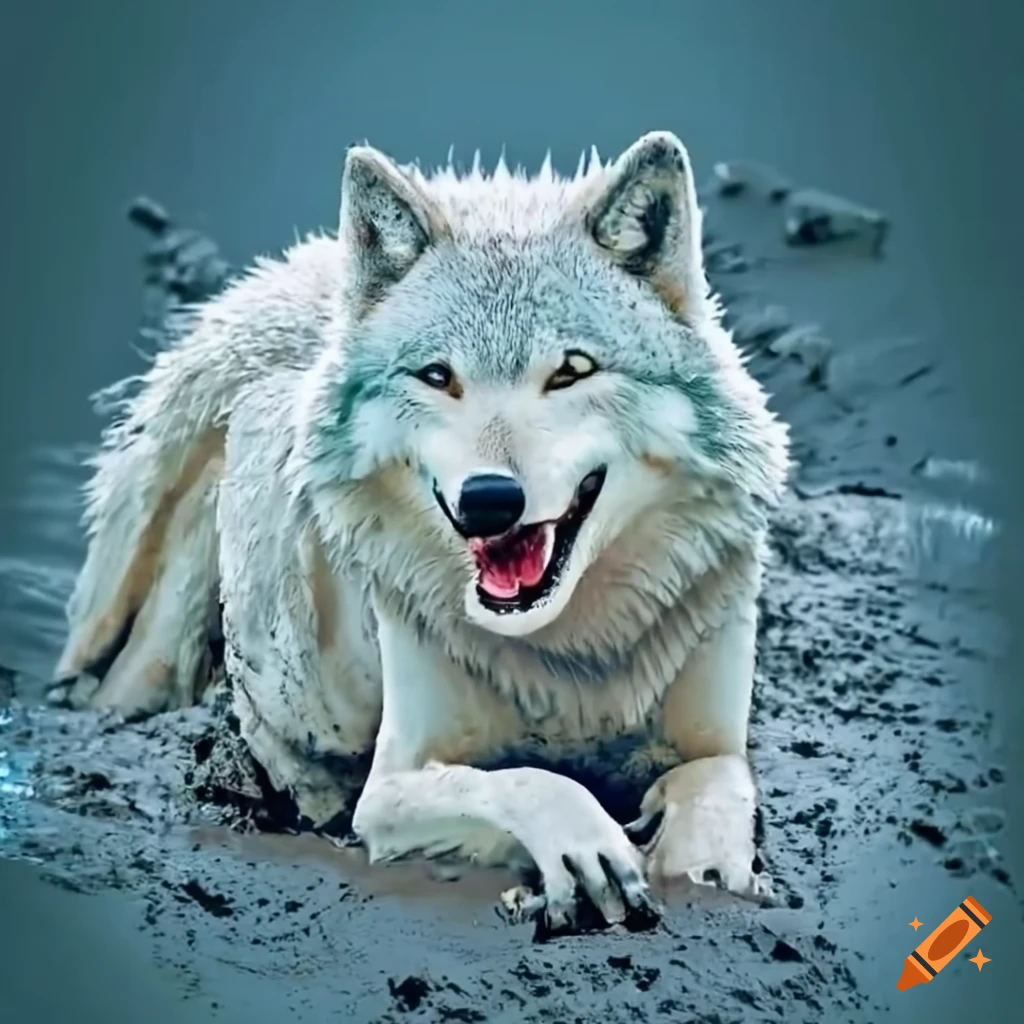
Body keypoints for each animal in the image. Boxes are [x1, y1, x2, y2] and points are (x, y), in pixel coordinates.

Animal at [54, 130, 790, 931]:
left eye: (572, 371)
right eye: (438, 376)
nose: (489, 500)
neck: (572, 659)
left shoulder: (716, 749)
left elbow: (715, 804)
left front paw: (708, 874)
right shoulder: (391, 792)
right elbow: (524, 782)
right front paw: (583, 852)